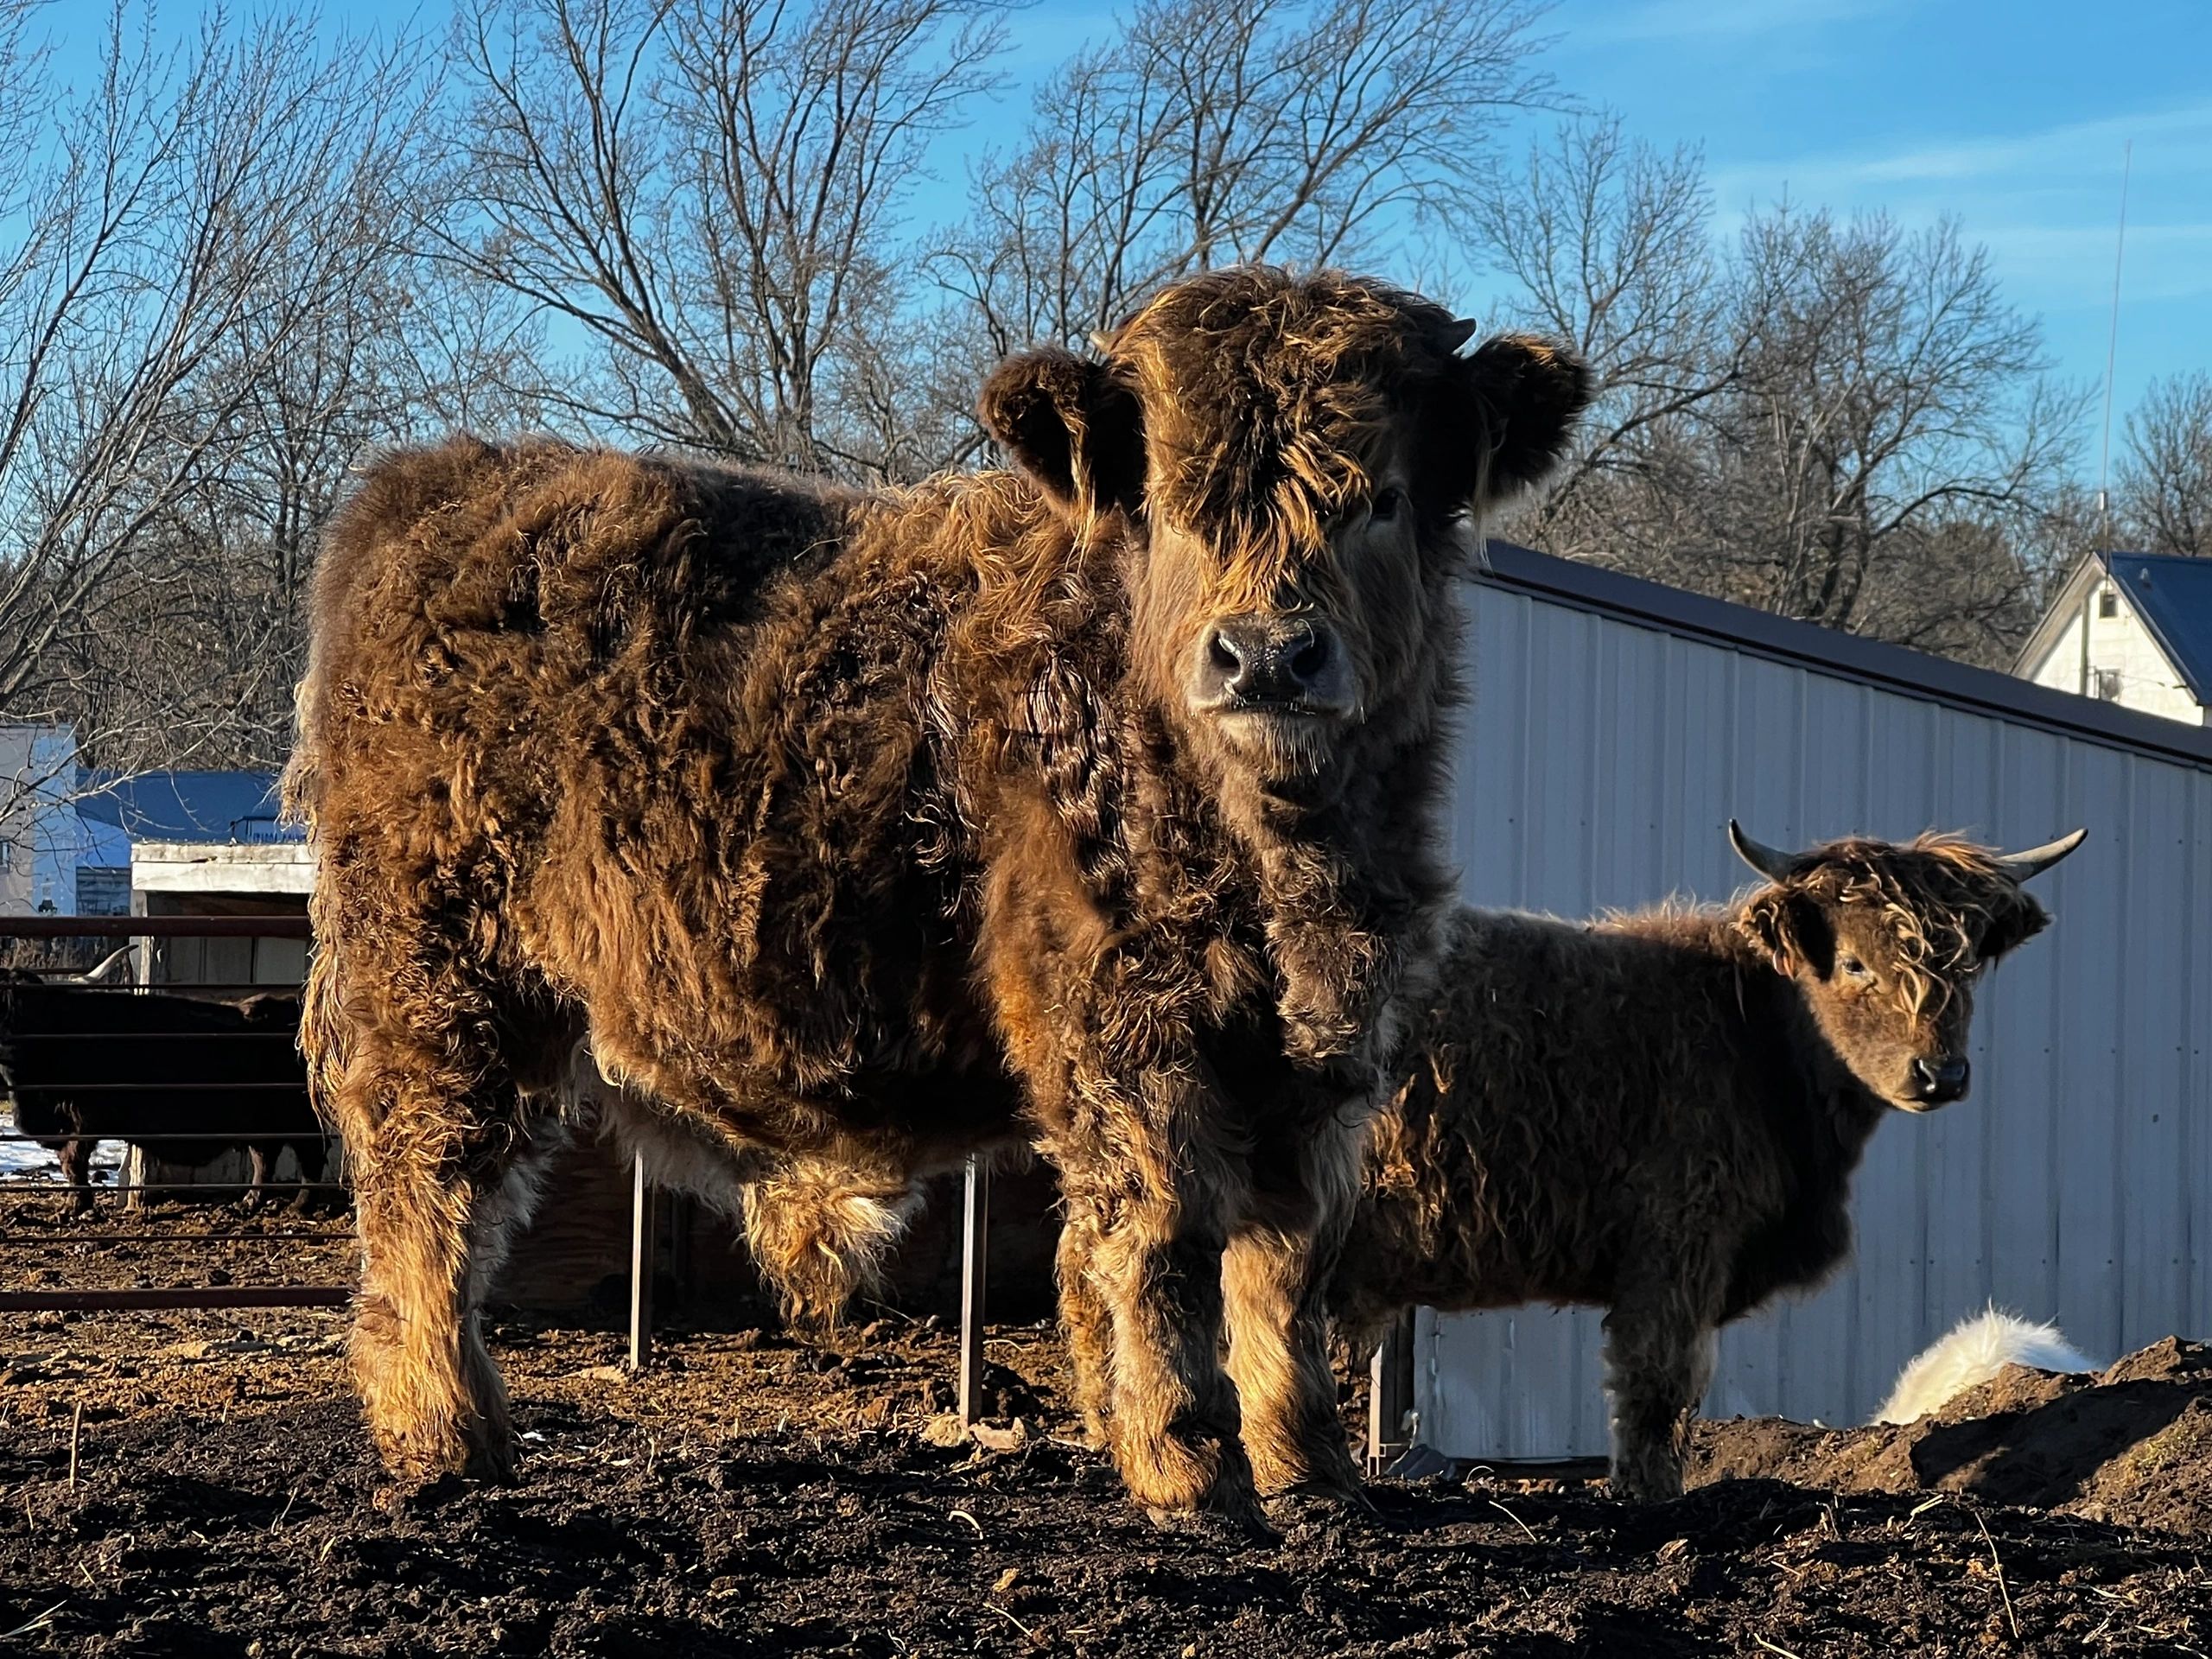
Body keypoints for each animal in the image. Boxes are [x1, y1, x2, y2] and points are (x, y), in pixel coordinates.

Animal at [0, 973, 328, 1211]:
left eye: (33, 1016)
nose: (10, 1050)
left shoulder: (86, 1118)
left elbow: (73, 1160)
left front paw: (77, 1206)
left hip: (298, 1115)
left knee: (309, 1153)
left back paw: (301, 1205)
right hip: (262, 1120)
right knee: (265, 1156)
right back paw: (249, 1202)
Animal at [281, 265, 1590, 1519]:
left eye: (1381, 500)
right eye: (1172, 506)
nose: (1266, 653)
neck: (1282, 868)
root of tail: (436, 485)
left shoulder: (1320, 1053)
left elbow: (1282, 1262)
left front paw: (1309, 1470)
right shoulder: (1126, 1024)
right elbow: (1161, 1236)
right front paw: (1185, 1464)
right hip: (438, 983)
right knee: (429, 1201)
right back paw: (448, 1436)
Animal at [1331, 823, 2084, 1501]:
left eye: (1964, 967)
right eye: (1854, 963)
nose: (1940, 1074)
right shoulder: (1681, 1239)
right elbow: (1658, 1386)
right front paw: (1654, 1497)